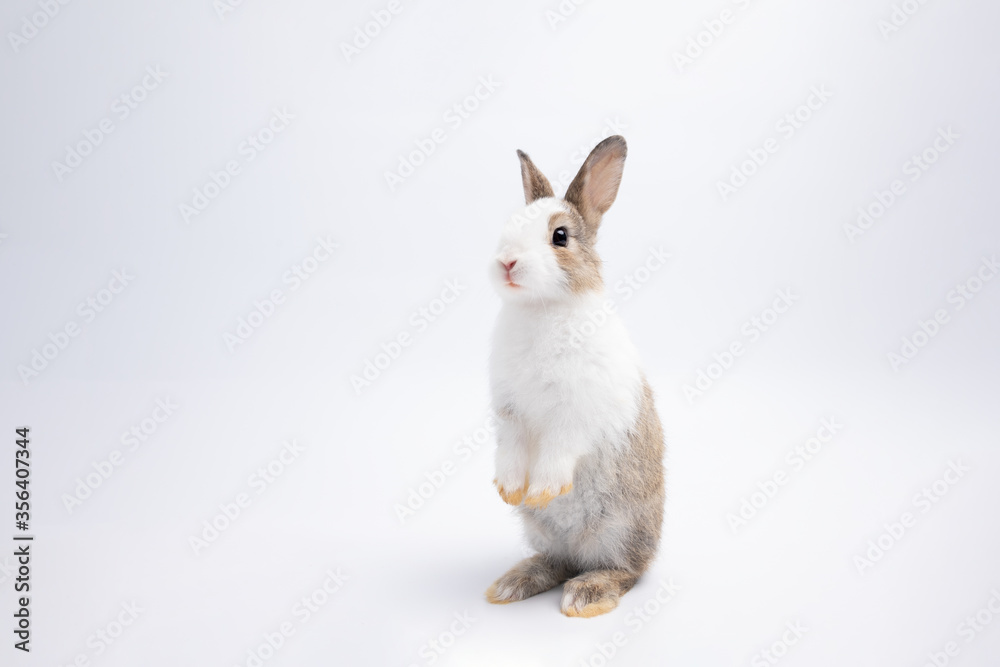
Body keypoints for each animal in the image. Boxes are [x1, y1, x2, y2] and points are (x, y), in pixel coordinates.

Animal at [485, 135, 665, 618]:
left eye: (559, 237)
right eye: (508, 226)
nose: (507, 262)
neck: (541, 309)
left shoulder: (575, 414)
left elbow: (558, 450)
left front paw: (542, 490)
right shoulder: (508, 414)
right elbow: (511, 450)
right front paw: (510, 492)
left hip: (619, 528)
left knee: (624, 570)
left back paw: (585, 596)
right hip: (545, 534)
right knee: (558, 562)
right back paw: (511, 584)